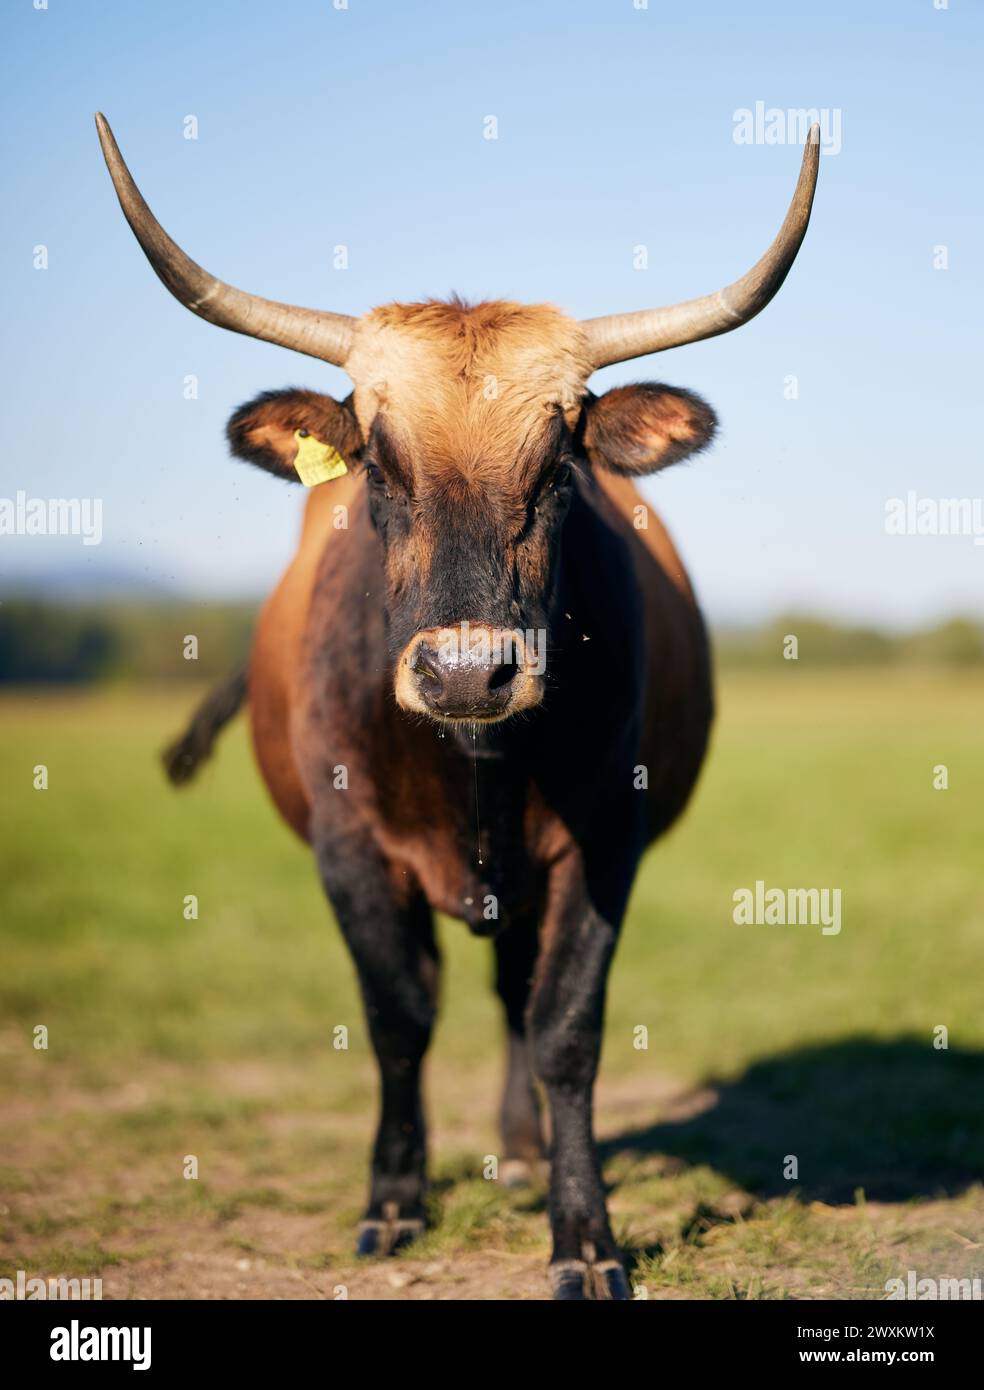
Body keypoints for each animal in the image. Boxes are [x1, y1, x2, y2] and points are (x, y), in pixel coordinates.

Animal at [96, 114, 819, 1300]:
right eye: (380, 468)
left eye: (561, 465)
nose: (471, 674)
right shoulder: (350, 847)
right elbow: (398, 1017)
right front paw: (393, 1200)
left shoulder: (603, 840)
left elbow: (565, 1025)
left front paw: (585, 1235)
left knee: (515, 993)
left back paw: (522, 1152)